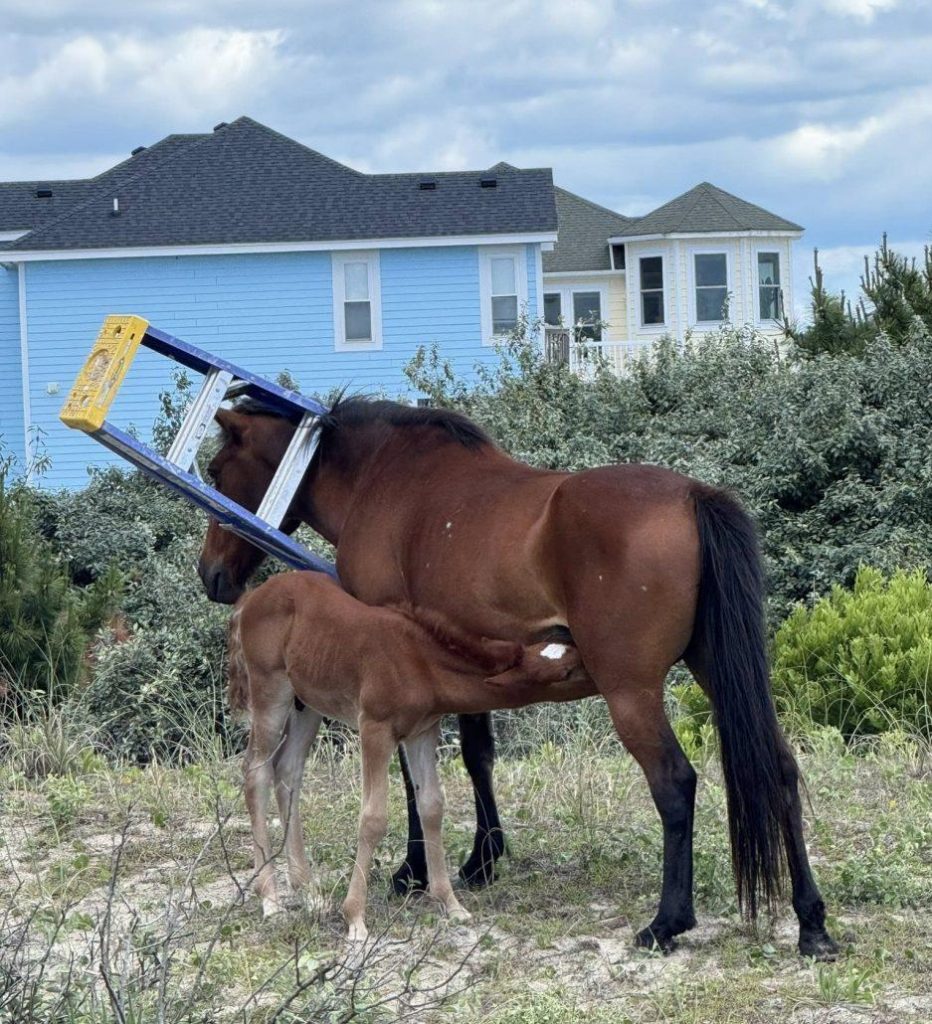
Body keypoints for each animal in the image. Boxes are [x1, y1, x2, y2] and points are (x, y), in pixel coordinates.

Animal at [226, 569, 591, 940]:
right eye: (566, 672)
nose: (597, 672)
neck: (419, 661)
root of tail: (251, 598)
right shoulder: (375, 728)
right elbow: (372, 817)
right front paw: (355, 918)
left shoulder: (421, 732)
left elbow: (432, 806)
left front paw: (451, 904)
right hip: (270, 691)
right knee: (256, 772)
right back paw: (270, 900)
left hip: (307, 704)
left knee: (288, 771)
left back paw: (309, 892)